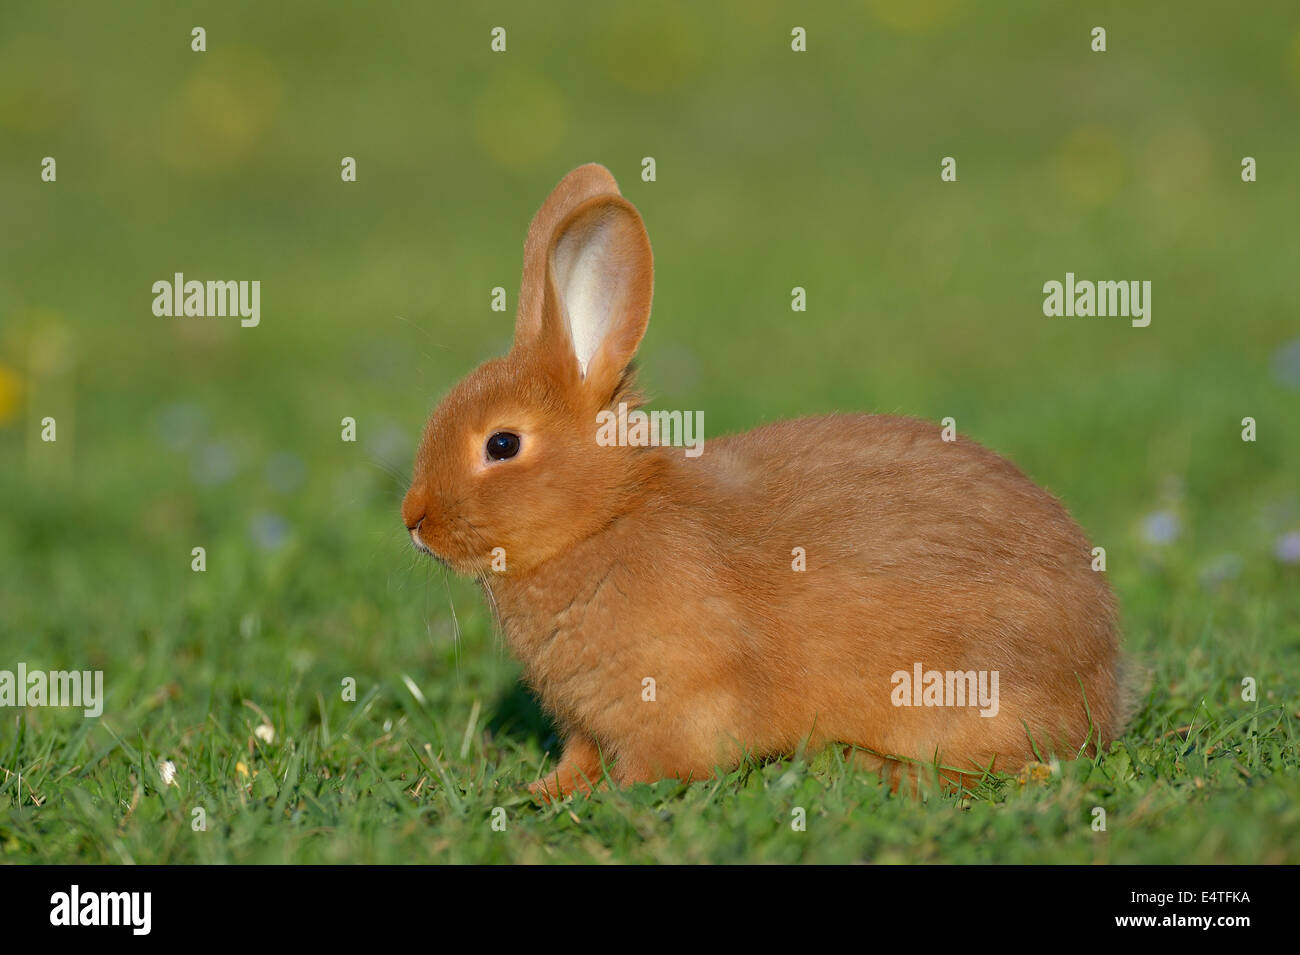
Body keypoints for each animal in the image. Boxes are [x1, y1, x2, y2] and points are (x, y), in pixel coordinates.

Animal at [402, 163, 1127, 799]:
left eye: (502, 444)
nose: (413, 520)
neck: (603, 517)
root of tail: (1102, 681)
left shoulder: (675, 704)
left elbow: (656, 764)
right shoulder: (588, 723)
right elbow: (579, 758)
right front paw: (543, 791)